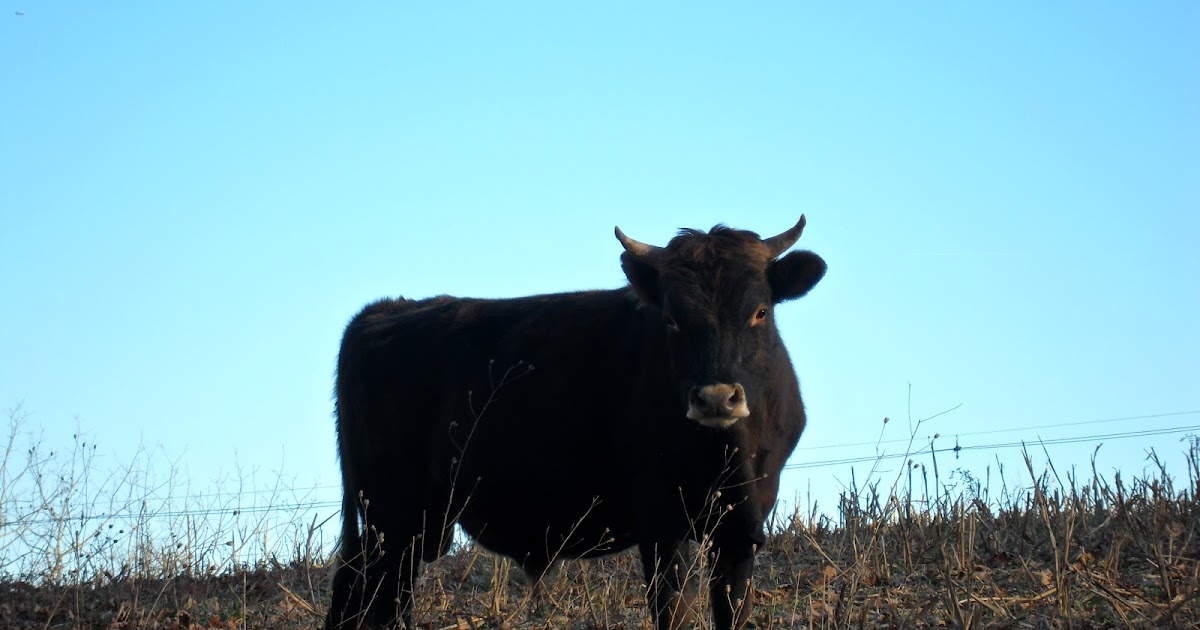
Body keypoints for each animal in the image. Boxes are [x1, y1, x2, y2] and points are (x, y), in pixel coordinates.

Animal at [326, 217, 826, 630]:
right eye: (671, 318)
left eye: (760, 311)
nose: (716, 397)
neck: (726, 455)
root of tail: (385, 311)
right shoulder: (662, 524)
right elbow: (674, 613)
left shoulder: (742, 530)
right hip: (390, 517)